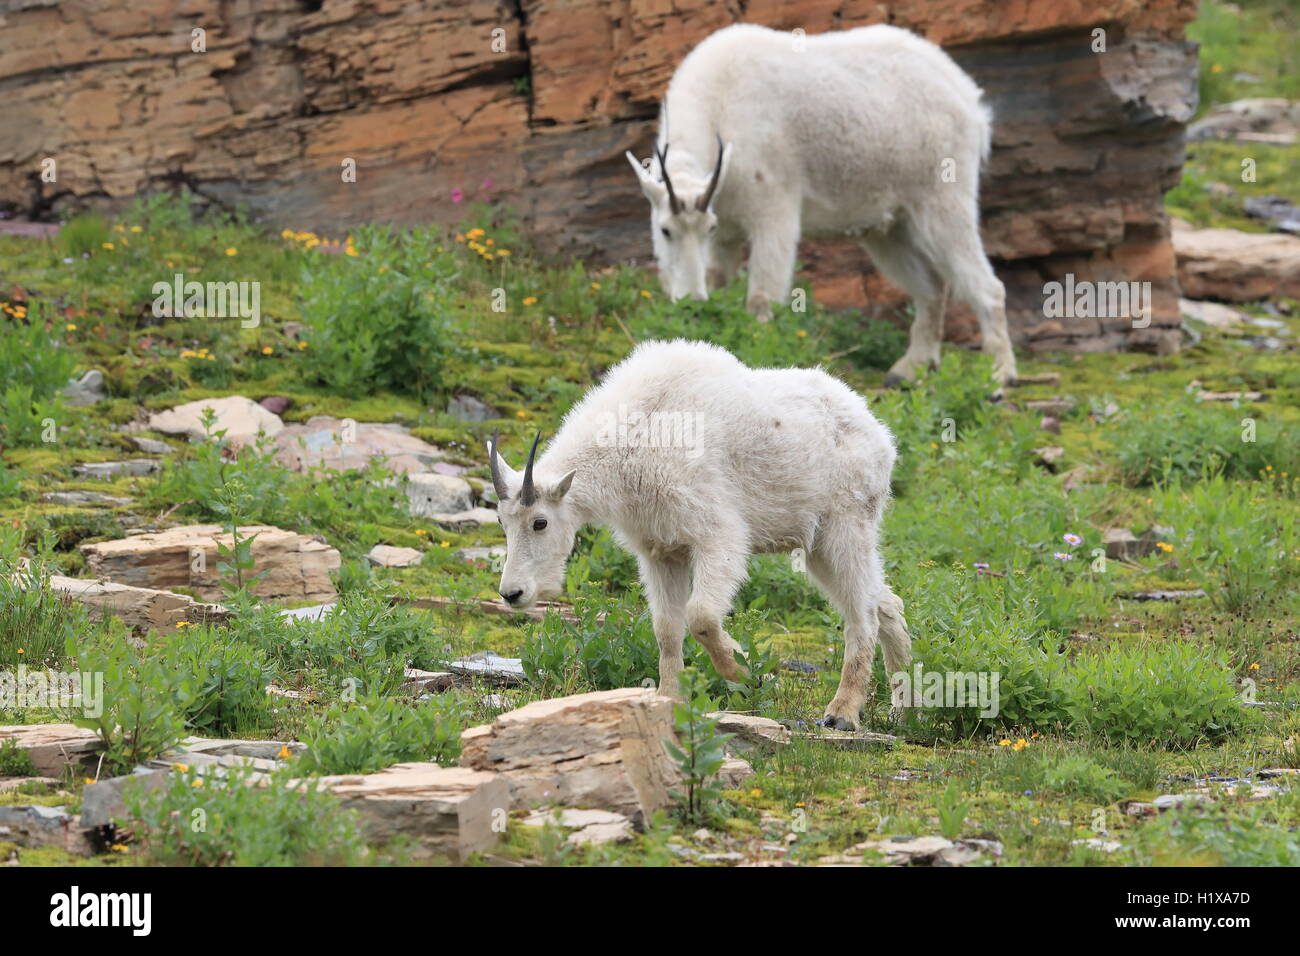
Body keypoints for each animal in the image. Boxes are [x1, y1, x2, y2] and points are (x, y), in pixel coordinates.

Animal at [488, 338, 910, 731]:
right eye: (502, 523)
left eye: (540, 522)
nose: (512, 594)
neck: (632, 442)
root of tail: (878, 433)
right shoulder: (660, 551)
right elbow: (666, 629)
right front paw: (669, 700)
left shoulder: (717, 535)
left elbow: (701, 616)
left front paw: (750, 673)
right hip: (819, 544)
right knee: (886, 601)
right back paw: (905, 707)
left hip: (846, 525)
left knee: (863, 614)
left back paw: (843, 712)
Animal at [626, 23, 1018, 387]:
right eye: (665, 230)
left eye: (701, 229)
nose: (691, 300)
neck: (717, 108)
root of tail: (970, 100)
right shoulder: (727, 227)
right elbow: (719, 279)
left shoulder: (773, 205)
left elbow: (761, 297)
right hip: (890, 225)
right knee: (932, 286)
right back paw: (909, 369)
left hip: (943, 193)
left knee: (985, 284)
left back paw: (999, 377)